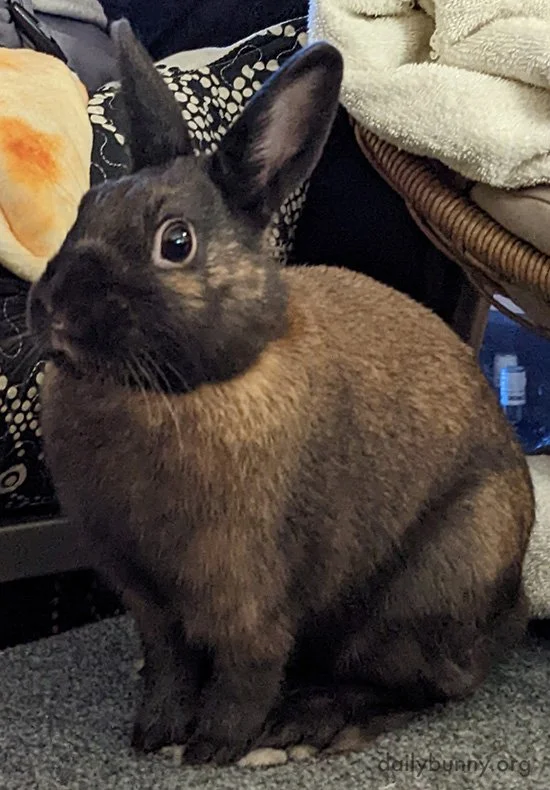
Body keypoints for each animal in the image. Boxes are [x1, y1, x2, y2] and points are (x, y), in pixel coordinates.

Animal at [27, 19, 534, 766]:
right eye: (87, 207)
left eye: (175, 242)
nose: (55, 309)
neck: (181, 390)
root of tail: (512, 612)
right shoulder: (147, 597)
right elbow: (170, 663)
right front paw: (154, 732)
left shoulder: (247, 590)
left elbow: (249, 669)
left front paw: (214, 747)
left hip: (425, 592)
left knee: (429, 685)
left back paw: (310, 723)